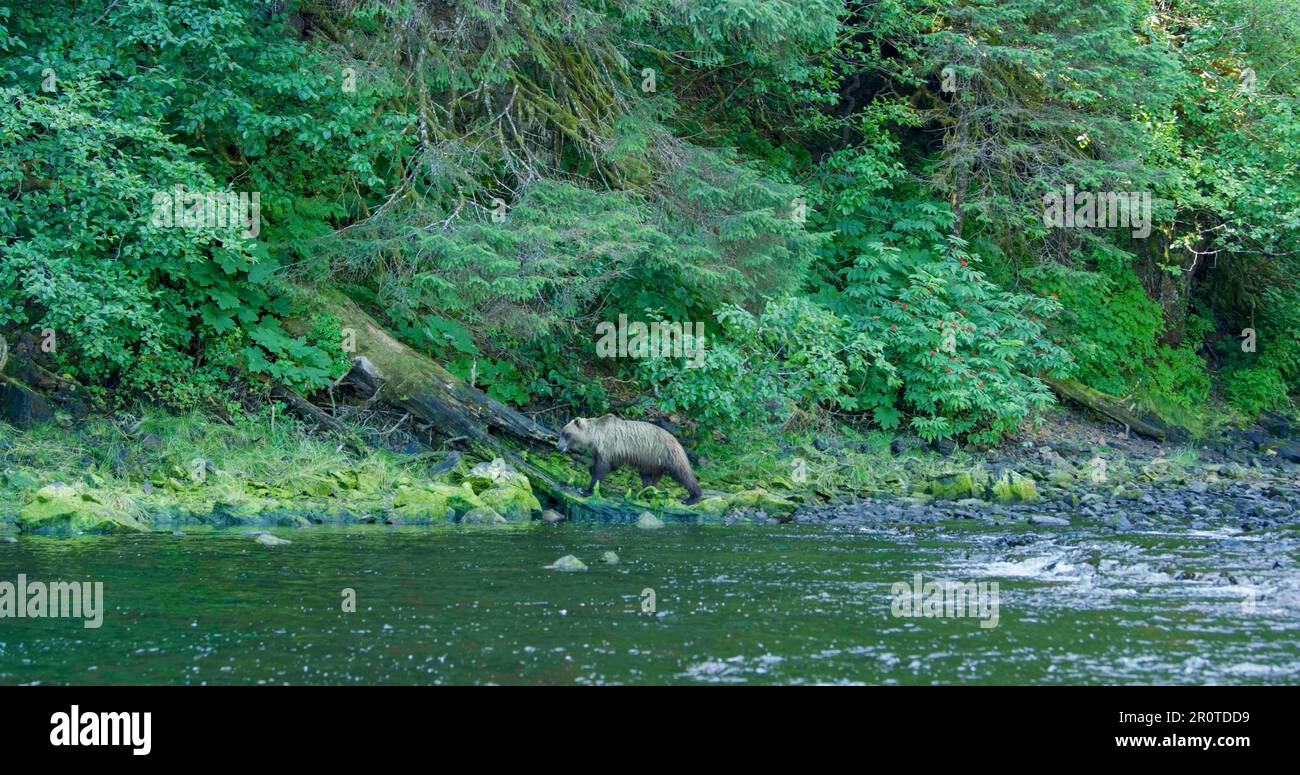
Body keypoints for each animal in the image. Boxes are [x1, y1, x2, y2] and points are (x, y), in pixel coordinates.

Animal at [556, 415, 702, 505]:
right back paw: (647, 492)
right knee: (649, 476)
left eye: (566, 434)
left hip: (668, 454)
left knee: (682, 473)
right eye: (562, 432)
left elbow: (602, 468)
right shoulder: (608, 451)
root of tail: (676, 440)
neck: (594, 436)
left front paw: (587, 489)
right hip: (651, 461)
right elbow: (606, 465)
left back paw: (692, 497)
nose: (558, 446)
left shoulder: (608, 446)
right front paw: (590, 470)